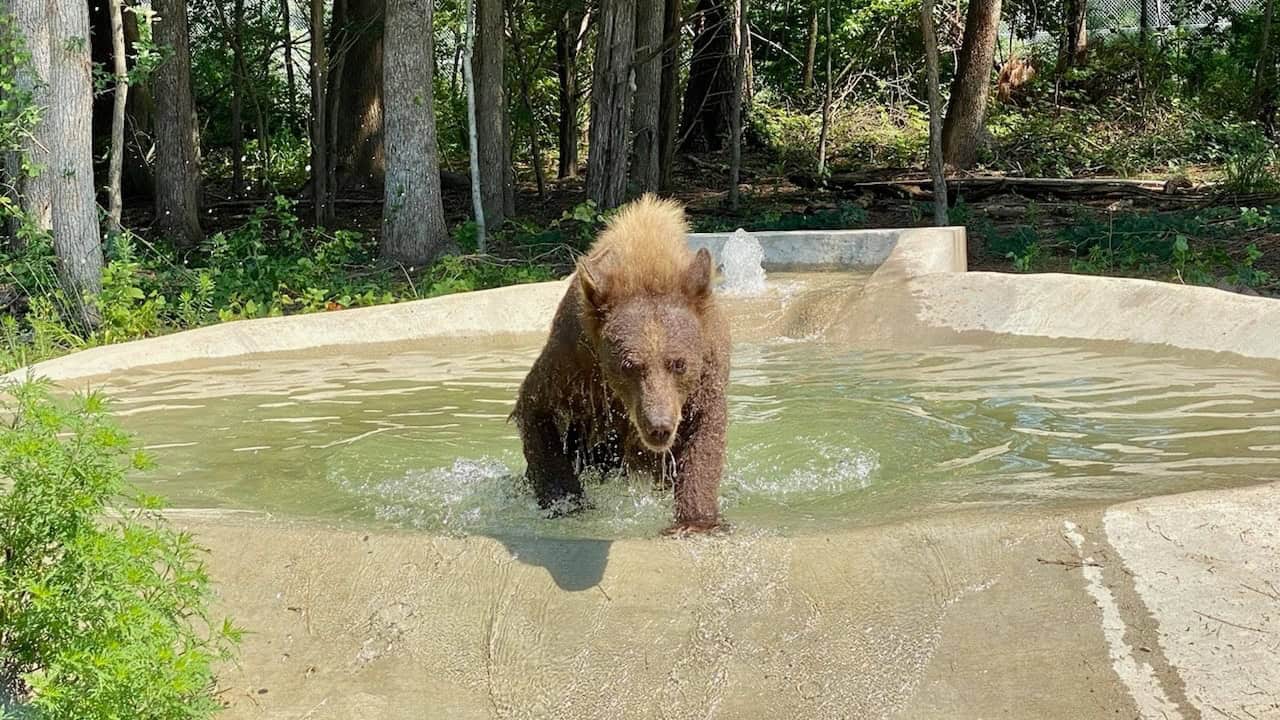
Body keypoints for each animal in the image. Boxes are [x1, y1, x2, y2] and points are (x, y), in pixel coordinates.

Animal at [511, 194, 730, 534]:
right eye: (629, 365)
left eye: (678, 363)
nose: (659, 427)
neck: (645, 258)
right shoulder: (574, 359)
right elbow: (536, 409)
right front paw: (568, 503)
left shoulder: (707, 366)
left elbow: (705, 434)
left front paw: (696, 520)